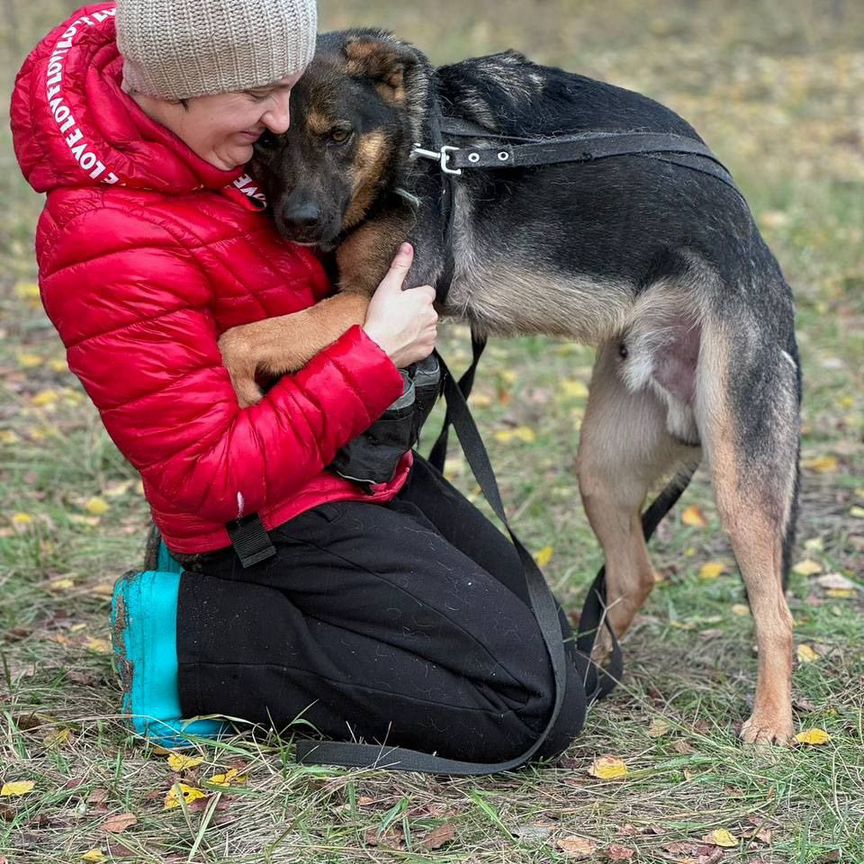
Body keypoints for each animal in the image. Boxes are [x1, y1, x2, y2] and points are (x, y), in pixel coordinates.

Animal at [218, 27, 804, 744]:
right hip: (602, 468)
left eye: (338, 135)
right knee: (635, 576)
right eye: (266, 142)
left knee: (776, 614)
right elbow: (252, 338)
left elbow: (238, 340)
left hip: (737, 475)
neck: (420, 143)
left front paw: (248, 404)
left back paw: (770, 722)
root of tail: (763, 262)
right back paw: (588, 672)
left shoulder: (376, 300)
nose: (298, 223)